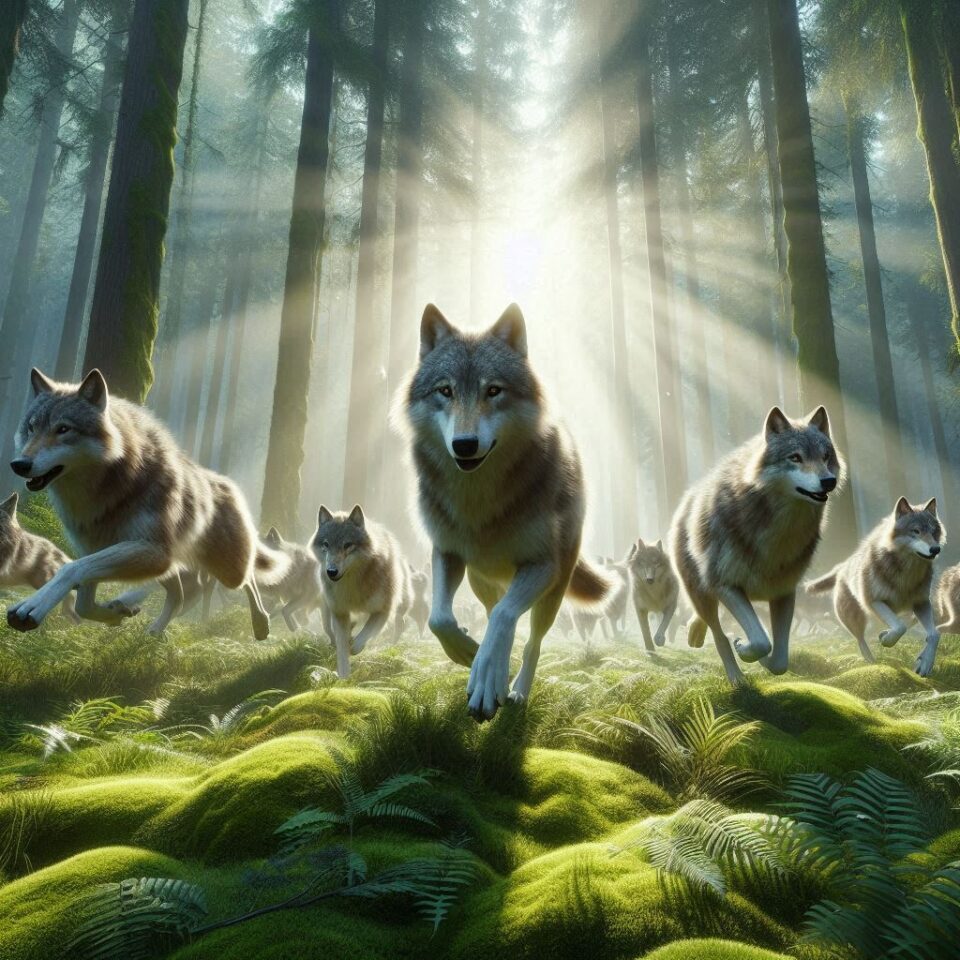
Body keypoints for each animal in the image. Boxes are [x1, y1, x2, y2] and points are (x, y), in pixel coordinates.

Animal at [311, 505, 412, 678]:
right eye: (326, 544)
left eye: (347, 545)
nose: (331, 572)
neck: (353, 584)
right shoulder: (340, 613)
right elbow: (342, 649)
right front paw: (343, 677)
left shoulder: (383, 611)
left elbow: (364, 635)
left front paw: (356, 648)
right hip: (327, 612)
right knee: (331, 632)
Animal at [402, 303, 611, 720]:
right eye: (445, 391)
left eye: (493, 390)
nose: (464, 445)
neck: (479, 499)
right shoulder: (447, 551)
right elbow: (440, 618)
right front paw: (466, 652)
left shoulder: (542, 564)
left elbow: (504, 618)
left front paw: (488, 682)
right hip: (481, 579)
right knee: (492, 610)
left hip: (554, 588)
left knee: (528, 636)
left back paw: (514, 689)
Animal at [670, 406, 842, 684]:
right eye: (795, 457)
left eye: (826, 457)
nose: (829, 481)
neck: (778, 533)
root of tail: (689, 497)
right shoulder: (726, 585)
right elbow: (761, 640)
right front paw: (744, 649)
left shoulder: (784, 592)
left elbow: (780, 659)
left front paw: (761, 659)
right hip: (705, 592)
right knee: (718, 636)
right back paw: (736, 678)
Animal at [807, 497, 944, 675]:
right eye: (916, 531)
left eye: (934, 532)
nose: (935, 549)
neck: (905, 572)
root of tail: (843, 566)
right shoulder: (874, 601)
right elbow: (900, 627)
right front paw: (888, 641)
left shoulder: (921, 603)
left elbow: (934, 634)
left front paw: (925, 664)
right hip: (854, 617)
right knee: (860, 638)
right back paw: (871, 660)